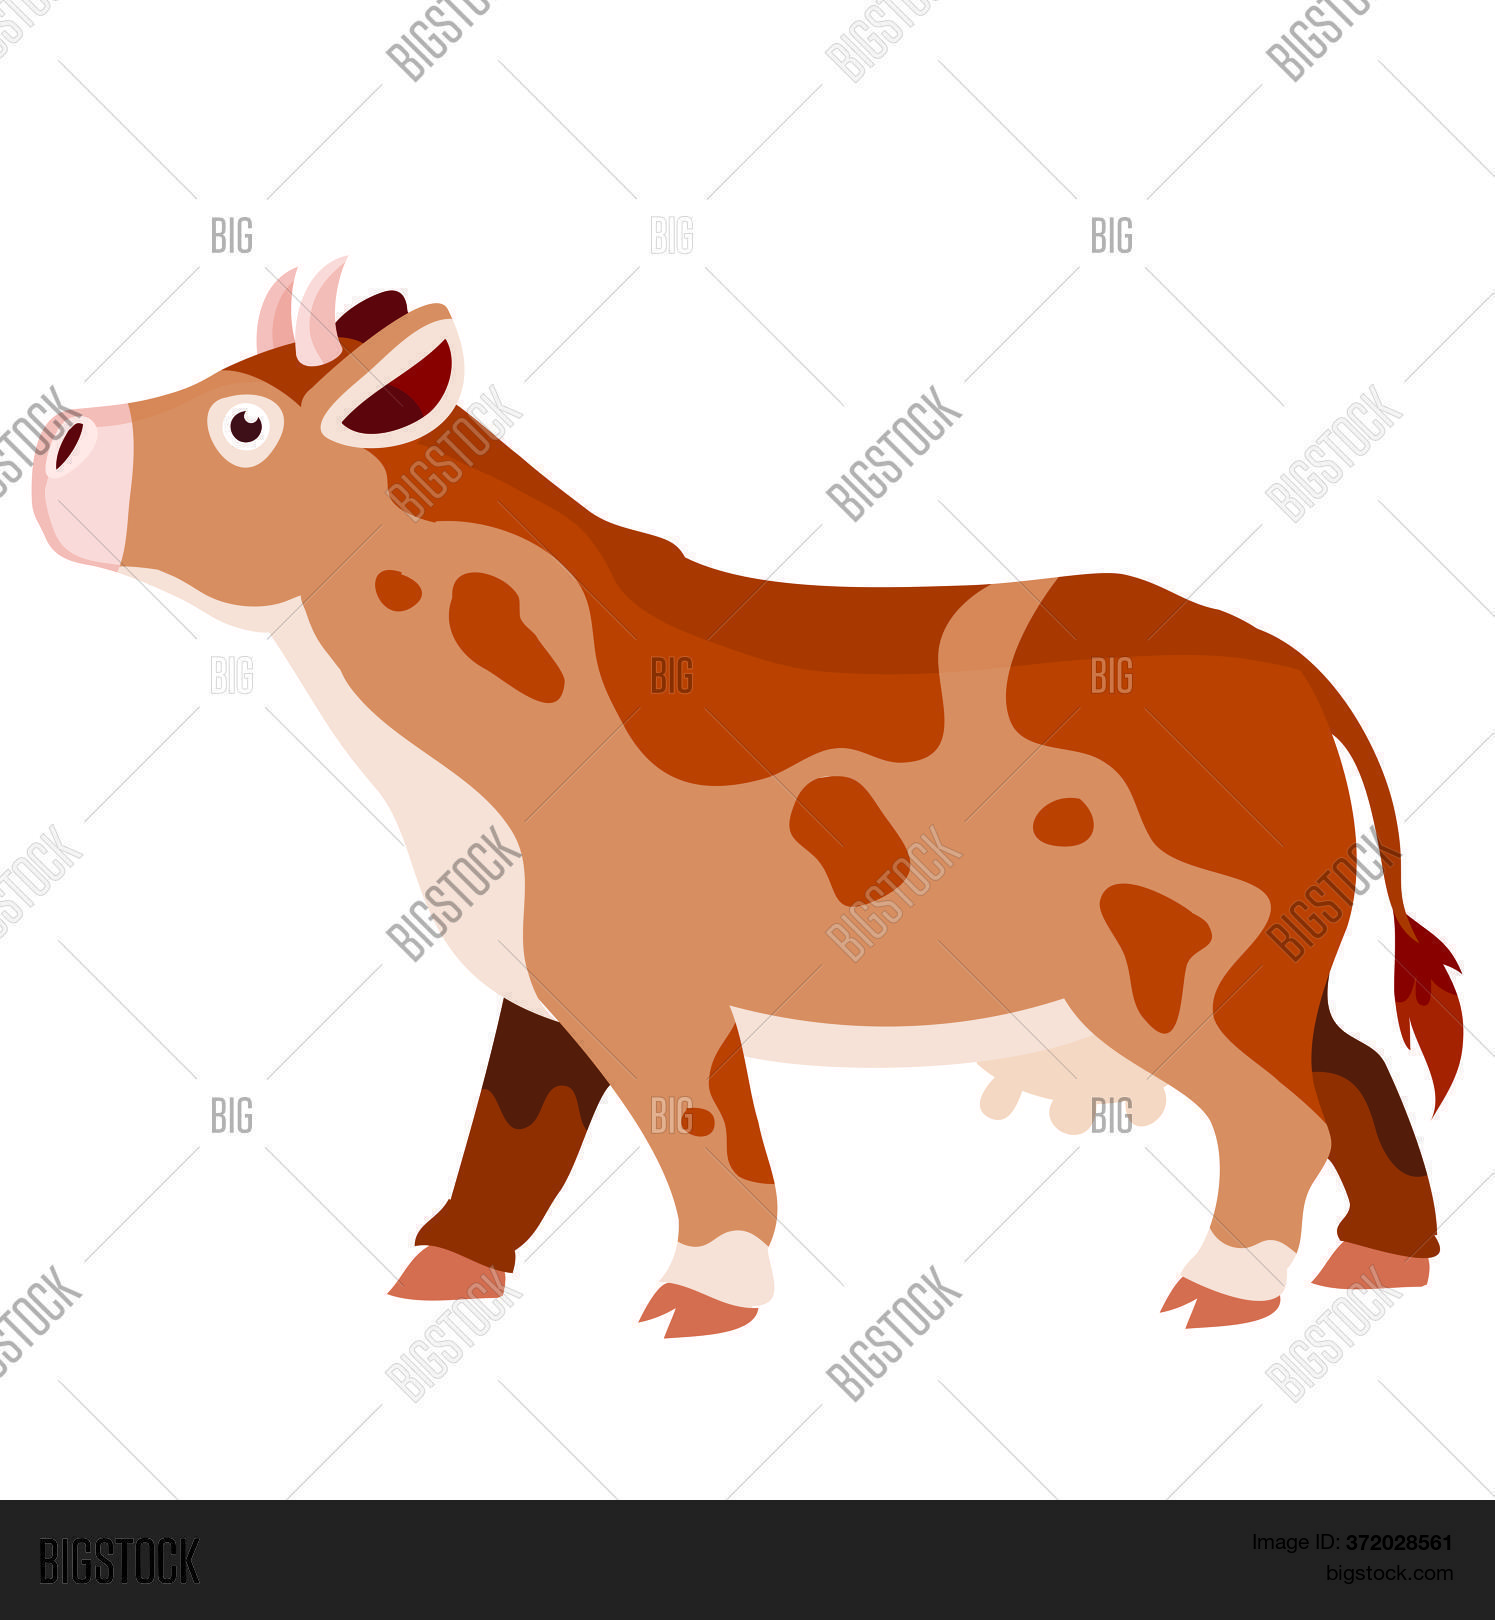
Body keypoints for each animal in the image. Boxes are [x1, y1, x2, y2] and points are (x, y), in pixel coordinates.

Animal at [33, 260, 1464, 1335]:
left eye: (244, 424)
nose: (56, 439)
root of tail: (1293, 672)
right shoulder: (540, 975)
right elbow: (509, 1133)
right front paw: (432, 1277)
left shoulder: (647, 976)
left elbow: (702, 1131)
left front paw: (697, 1308)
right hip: (1269, 950)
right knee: (1349, 1067)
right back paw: (1379, 1265)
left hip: (1180, 966)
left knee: (1279, 1111)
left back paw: (1217, 1295)